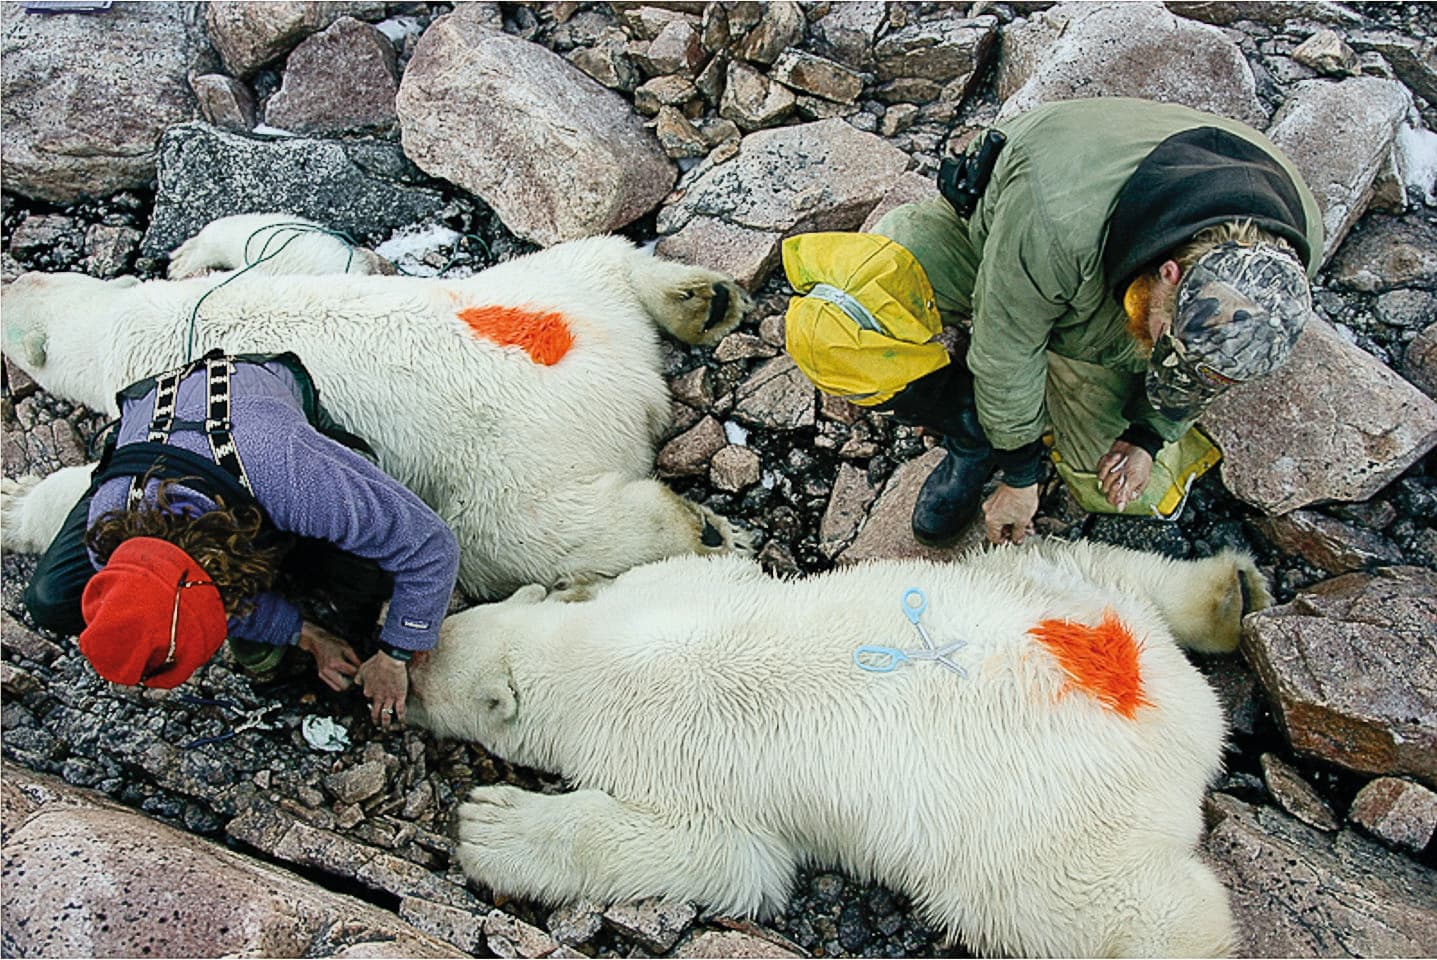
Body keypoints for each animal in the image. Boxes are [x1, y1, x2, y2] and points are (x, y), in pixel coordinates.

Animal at [0, 213, 752, 600]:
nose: (11, 282)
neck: (152, 327)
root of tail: (631, 380)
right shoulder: (271, 284)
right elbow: (318, 252)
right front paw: (193, 251)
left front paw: (14, 503)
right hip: (546, 288)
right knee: (601, 258)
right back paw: (698, 299)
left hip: (512, 449)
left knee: (507, 531)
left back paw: (701, 530)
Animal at [408, 538, 1271, 958]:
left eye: (418, 688)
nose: (399, 688)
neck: (603, 656)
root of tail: (1170, 714)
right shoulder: (682, 588)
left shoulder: (677, 754)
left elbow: (722, 860)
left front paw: (490, 826)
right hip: (1064, 601)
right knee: (1084, 560)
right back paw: (1225, 594)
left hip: (1042, 827)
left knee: (1101, 908)